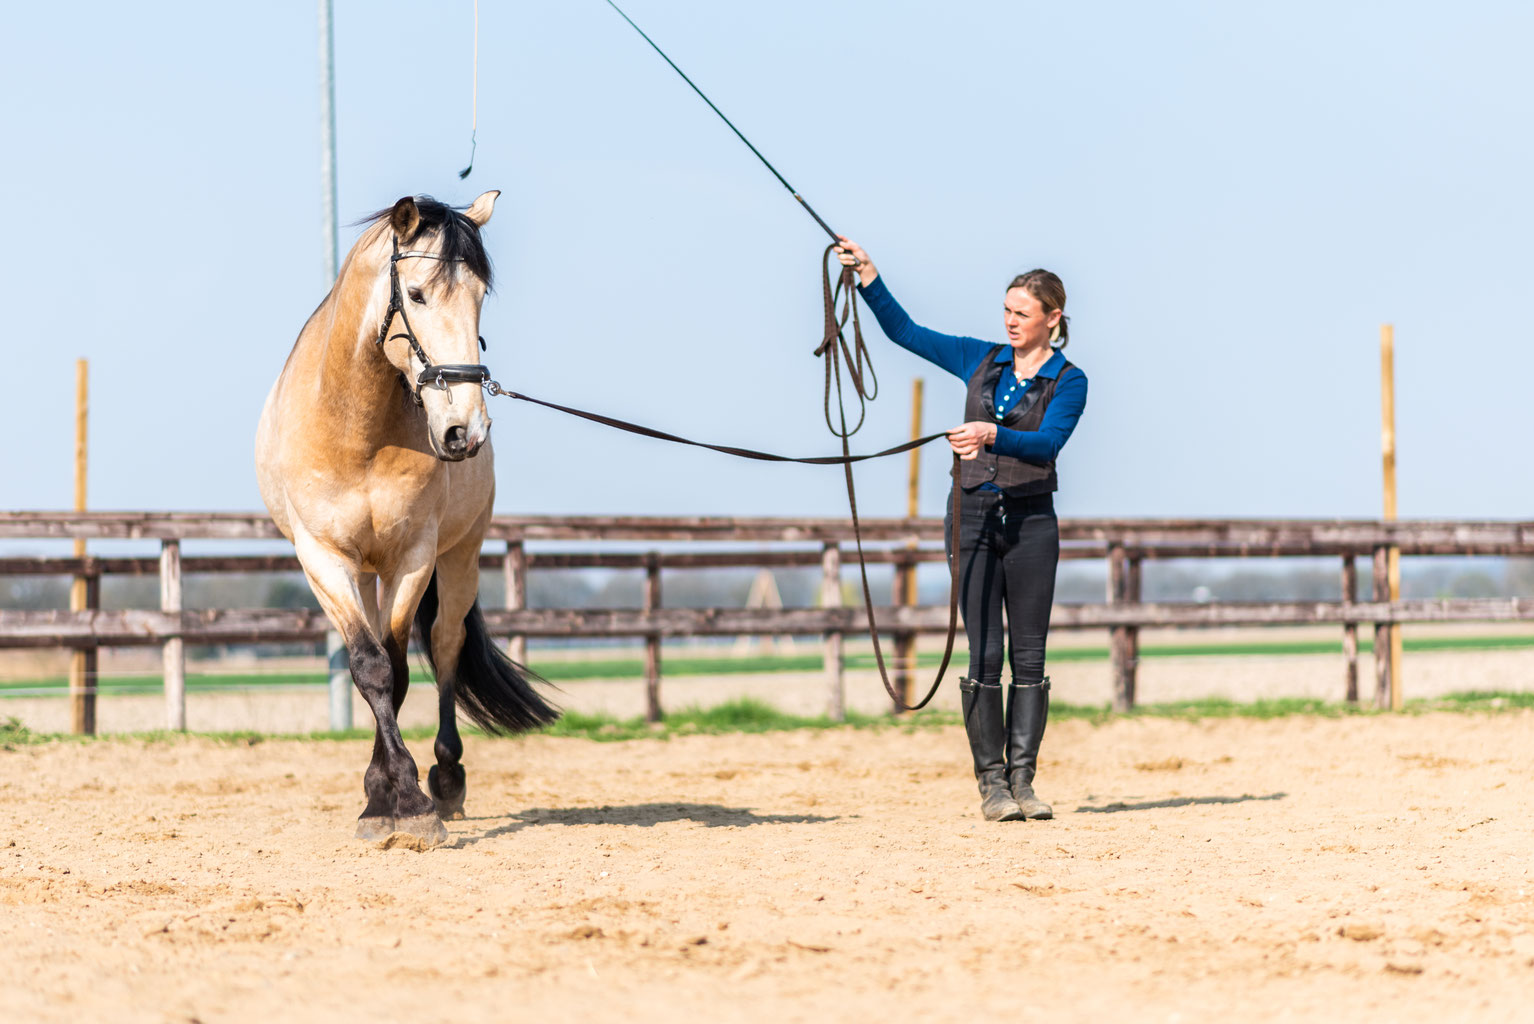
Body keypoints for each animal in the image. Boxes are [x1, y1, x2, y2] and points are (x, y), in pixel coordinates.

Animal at [256, 192, 559, 848]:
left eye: (479, 295)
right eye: (416, 294)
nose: (465, 430)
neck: (355, 430)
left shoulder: (414, 557)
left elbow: (395, 669)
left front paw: (409, 801)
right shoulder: (324, 560)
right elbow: (369, 667)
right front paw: (382, 801)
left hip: (460, 556)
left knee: (445, 644)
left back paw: (446, 777)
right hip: (366, 572)